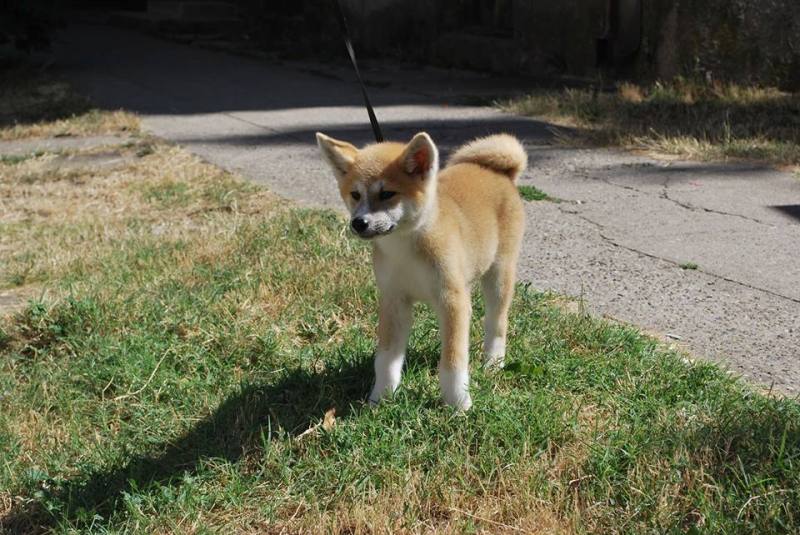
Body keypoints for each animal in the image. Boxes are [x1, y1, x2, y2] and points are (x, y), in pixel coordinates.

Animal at [316, 132, 528, 408]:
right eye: (355, 194)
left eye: (387, 193)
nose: (358, 223)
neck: (405, 250)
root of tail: (501, 173)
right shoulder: (394, 301)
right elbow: (386, 360)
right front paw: (380, 399)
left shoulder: (452, 301)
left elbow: (453, 362)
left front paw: (459, 404)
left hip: (499, 275)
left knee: (497, 322)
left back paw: (493, 362)